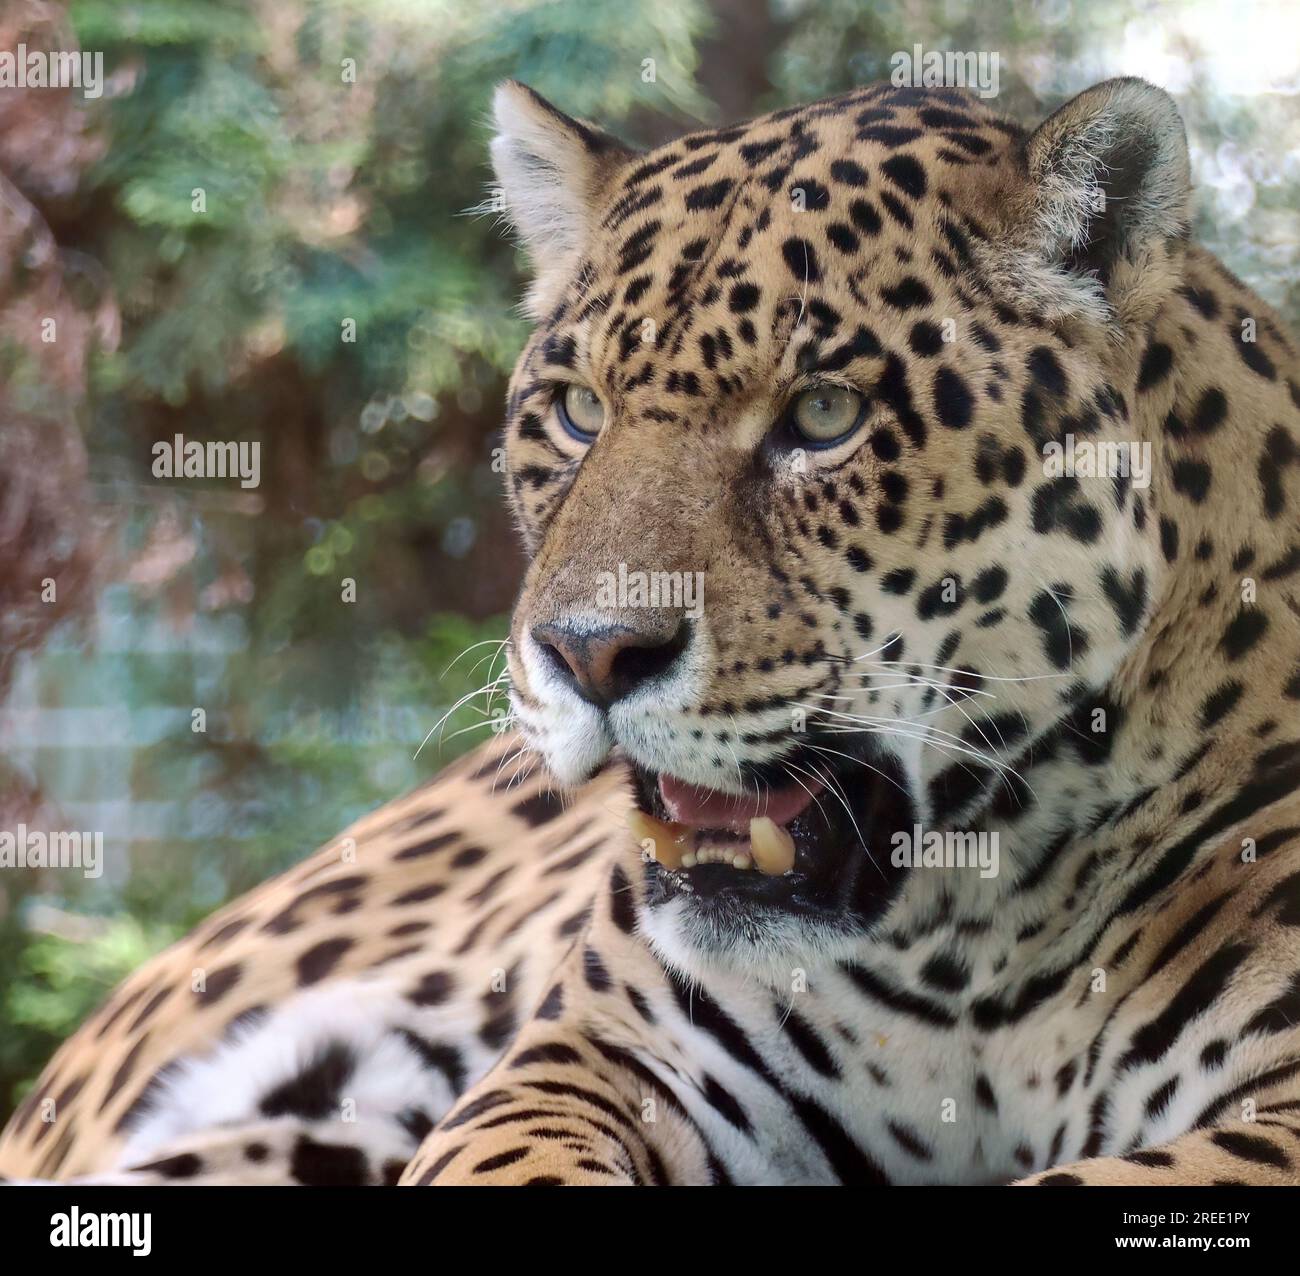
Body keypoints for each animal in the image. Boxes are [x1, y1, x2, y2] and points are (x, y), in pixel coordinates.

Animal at [4, 74, 1300, 1188]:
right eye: (578, 410)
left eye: (821, 415)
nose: (589, 654)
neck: (961, 943)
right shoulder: (604, 1055)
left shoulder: (1276, 1111)